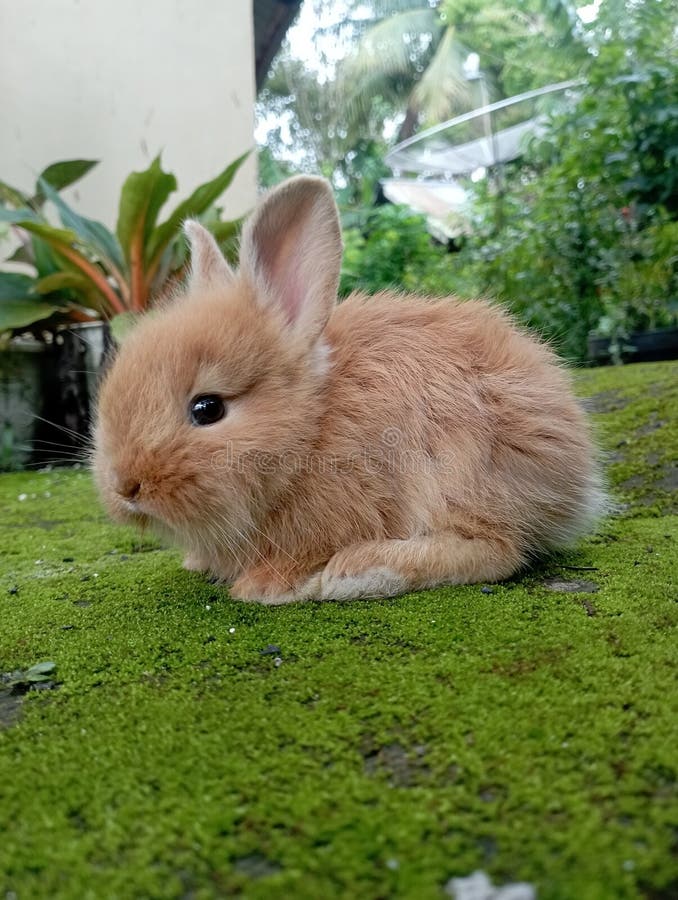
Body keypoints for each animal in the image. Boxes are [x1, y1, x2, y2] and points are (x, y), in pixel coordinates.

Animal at [93, 175, 605, 604]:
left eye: (207, 408)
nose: (125, 486)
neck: (310, 428)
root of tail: (577, 481)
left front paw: (266, 587)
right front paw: (198, 563)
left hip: (460, 474)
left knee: (498, 549)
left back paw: (359, 572)